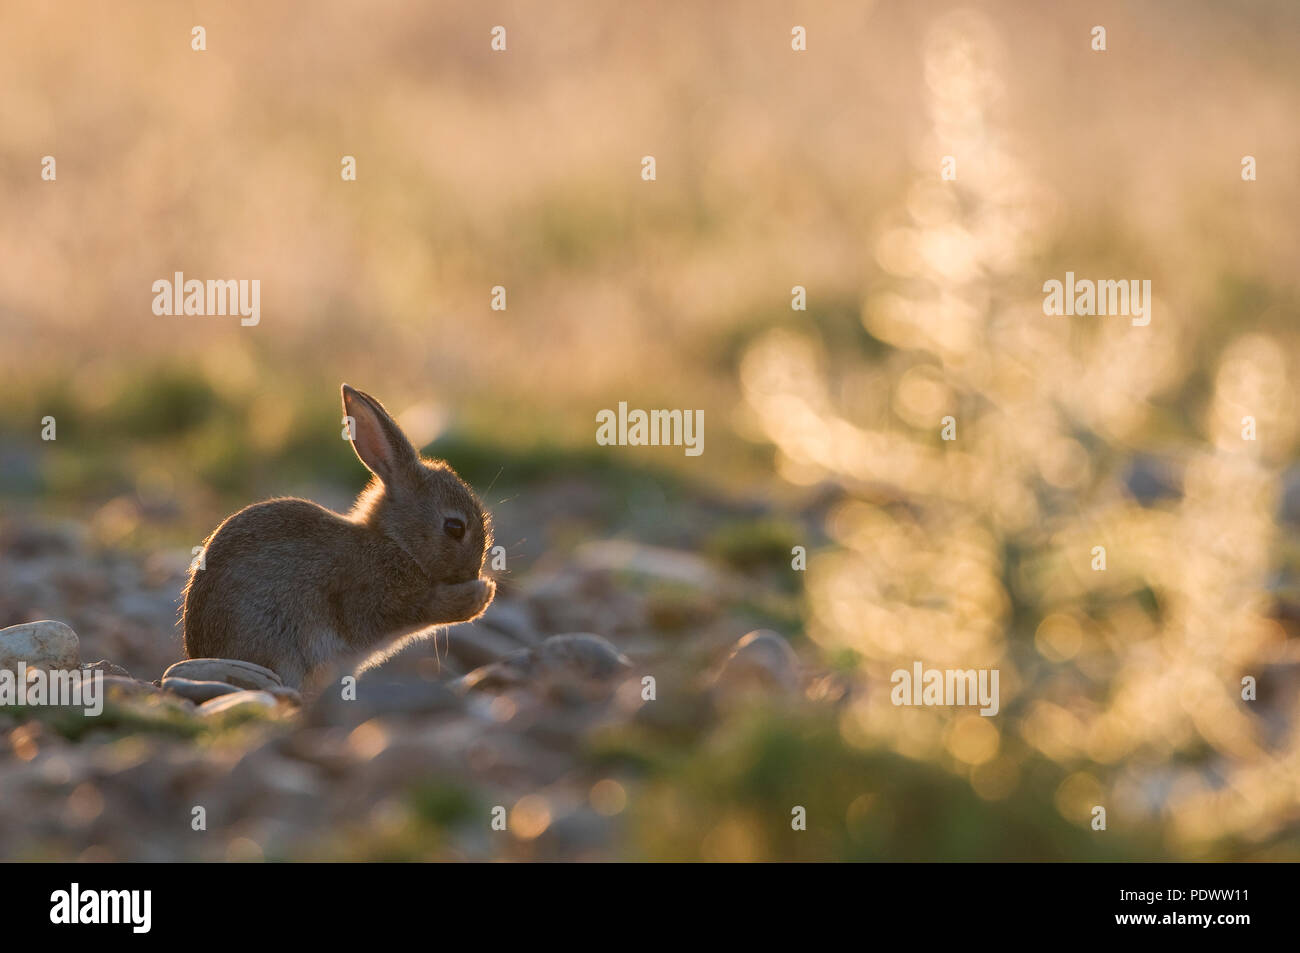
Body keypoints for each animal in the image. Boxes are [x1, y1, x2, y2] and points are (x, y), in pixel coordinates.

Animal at [181, 383, 495, 689]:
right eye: (454, 527)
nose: (473, 572)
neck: (396, 543)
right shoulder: (372, 601)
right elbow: (425, 609)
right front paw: (481, 594)